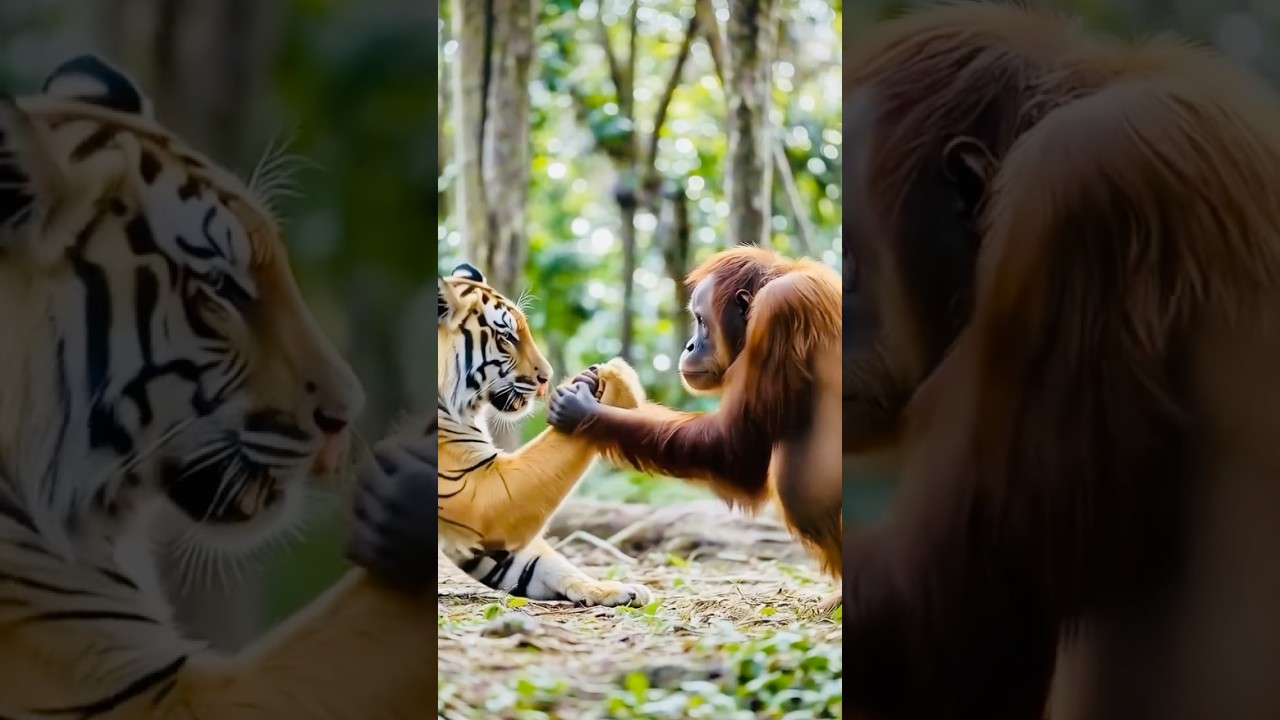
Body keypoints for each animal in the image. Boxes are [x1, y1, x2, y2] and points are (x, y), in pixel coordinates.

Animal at [435, 263, 654, 607]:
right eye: (506, 337)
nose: (546, 378)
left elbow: (543, 564)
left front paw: (612, 589)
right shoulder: (481, 492)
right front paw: (616, 376)